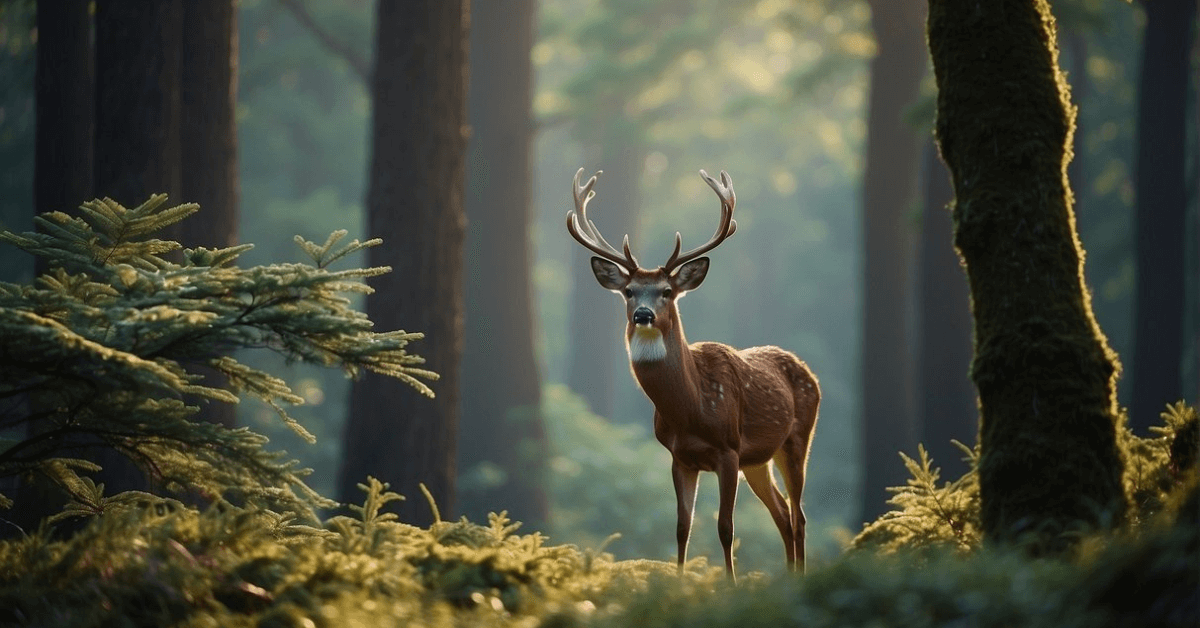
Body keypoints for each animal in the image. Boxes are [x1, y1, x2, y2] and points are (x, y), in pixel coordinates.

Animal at [566, 167, 820, 580]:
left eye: (667, 291)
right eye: (630, 291)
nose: (643, 315)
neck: (691, 408)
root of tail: (809, 373)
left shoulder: (729, 449)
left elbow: (725, 526)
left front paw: (730, 584)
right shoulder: (679, 456)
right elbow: (682, 526)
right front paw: (680, 581)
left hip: (797, 438)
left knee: (799, 515)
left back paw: (799, 577)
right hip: (759, 459)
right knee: (782, 513)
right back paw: (787, 576)